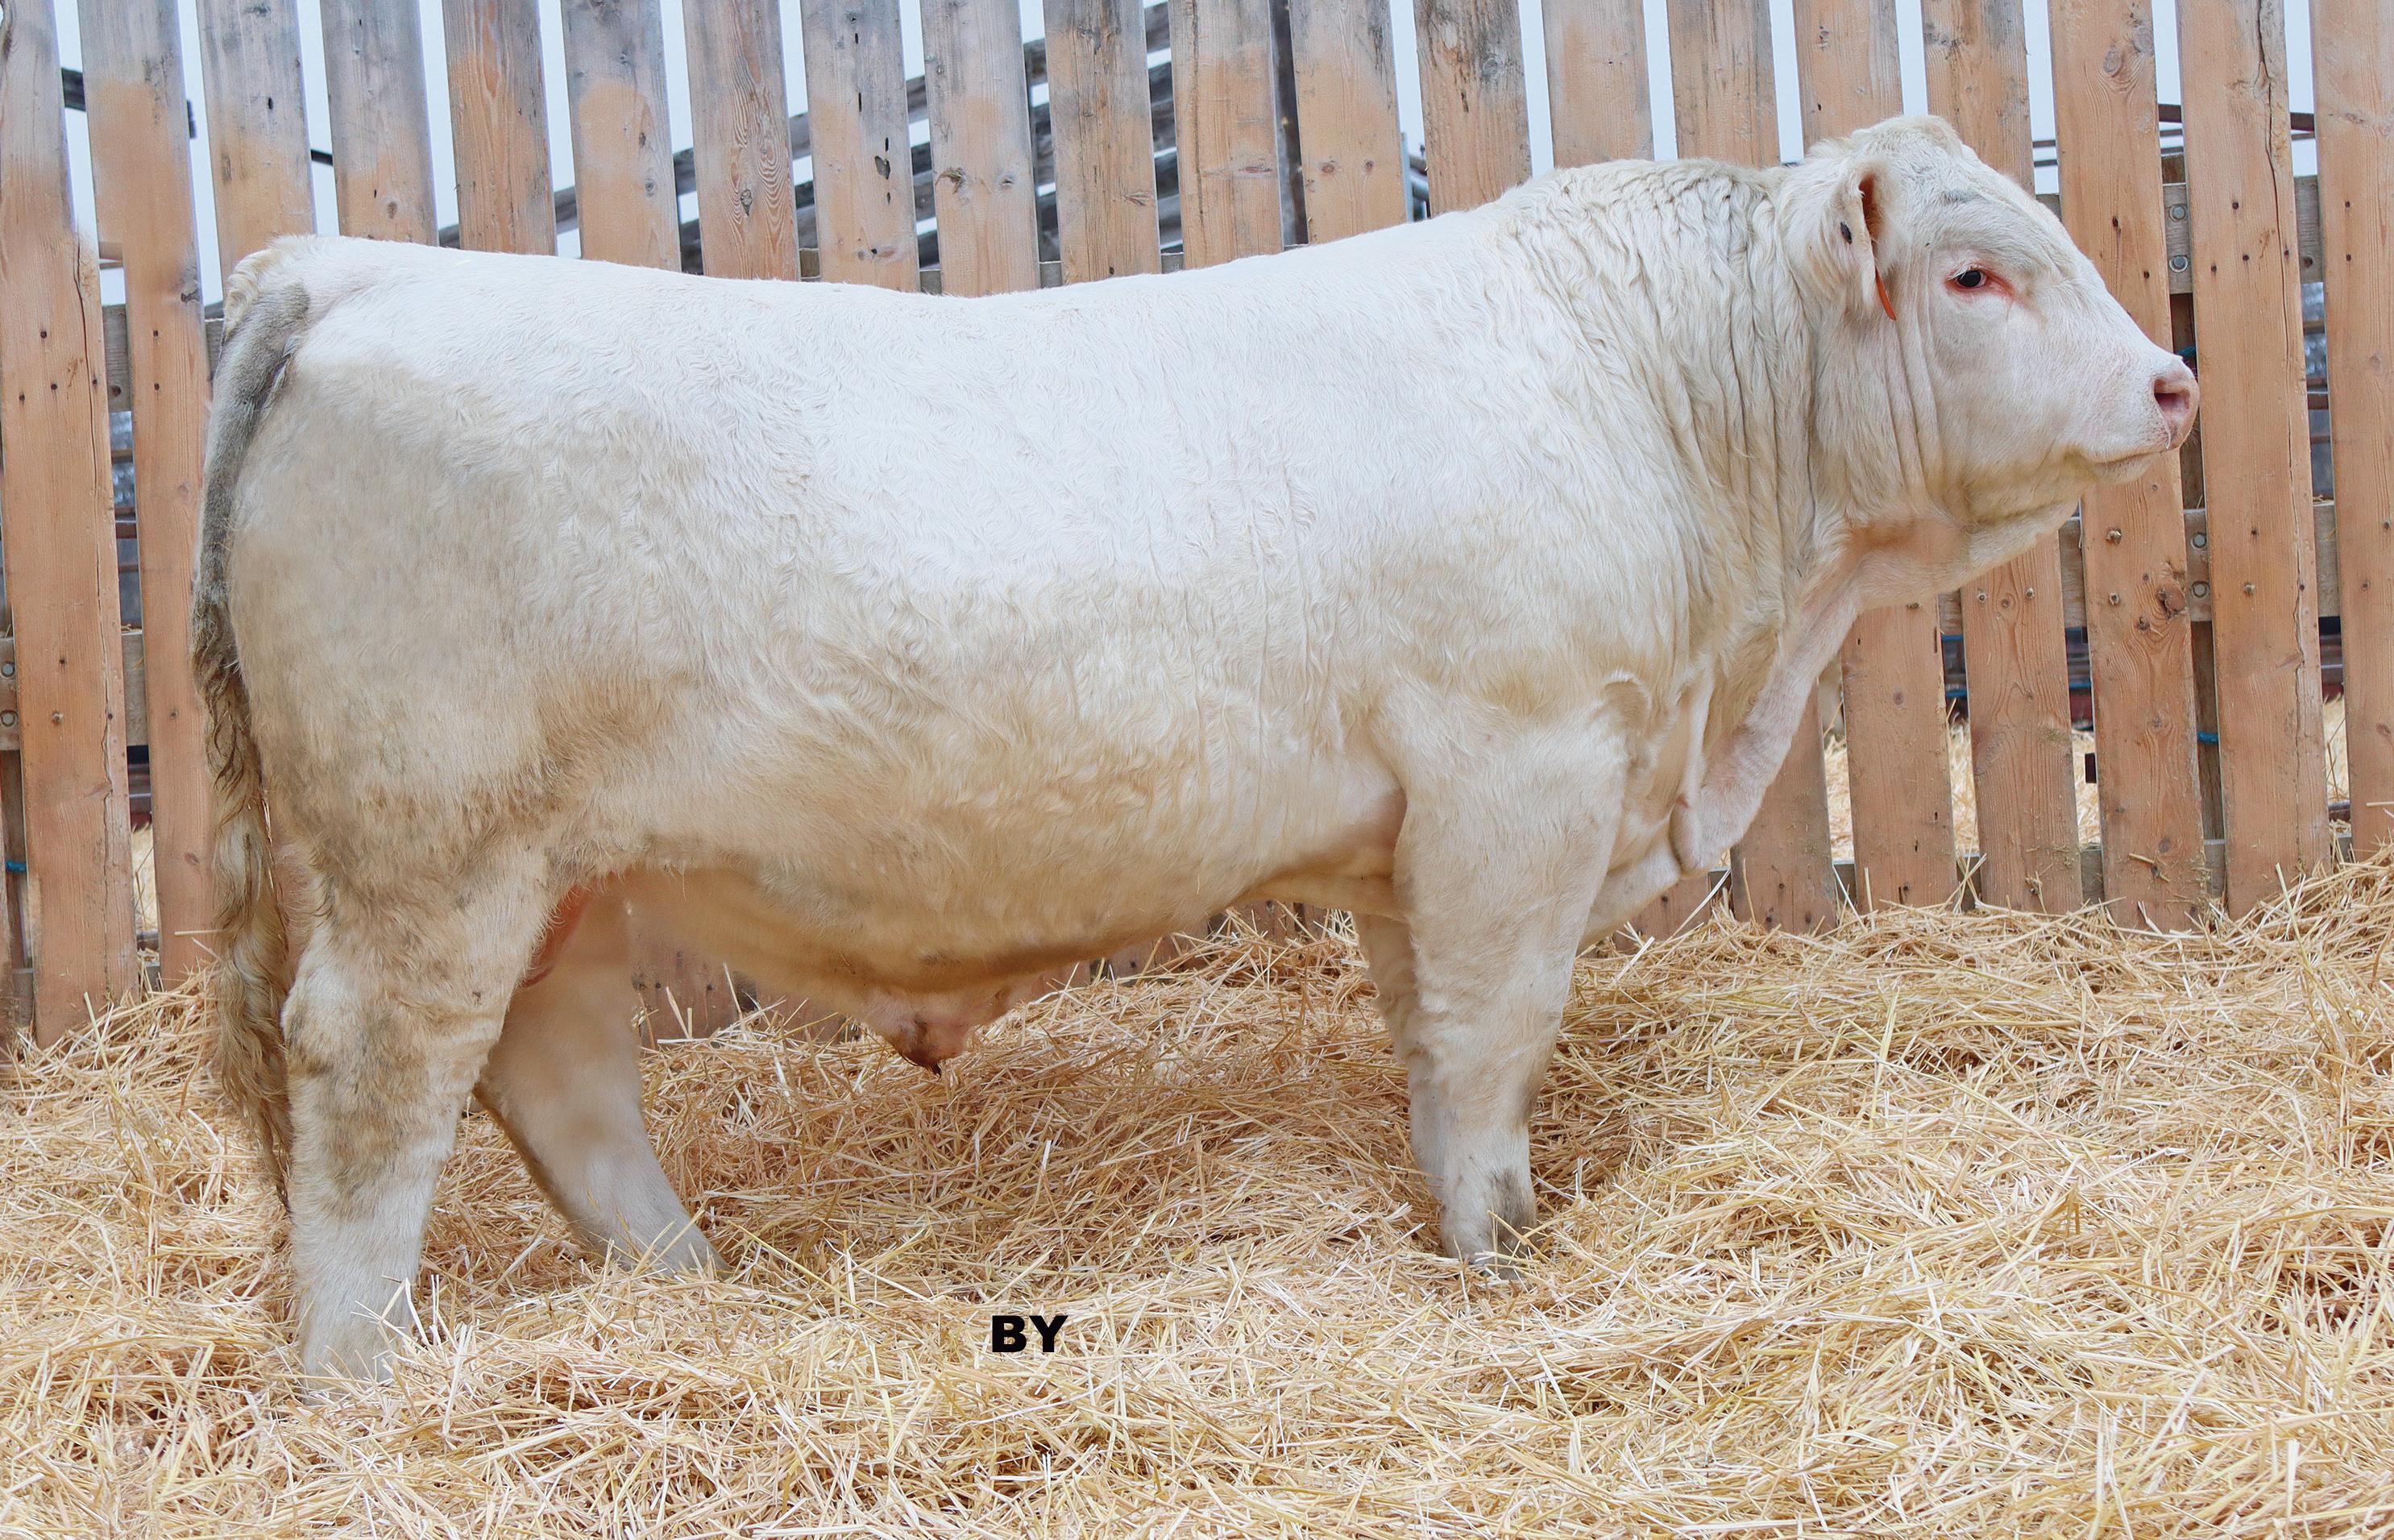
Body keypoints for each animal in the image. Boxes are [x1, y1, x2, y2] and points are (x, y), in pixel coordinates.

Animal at [195, 115, 2196, 1378]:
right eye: (1974, 276)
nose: (2172, 382)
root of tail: (345, 274)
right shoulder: (1521, 767)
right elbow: (1496, 1029)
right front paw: (1502, 1256)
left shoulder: (1423, 824)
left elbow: (1431, 1037)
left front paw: (1461, 1225)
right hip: (431, 847)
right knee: (374, 1076)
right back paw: (358, 1376)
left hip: (553, 869)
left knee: (558, 1081)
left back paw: (688, 1290)